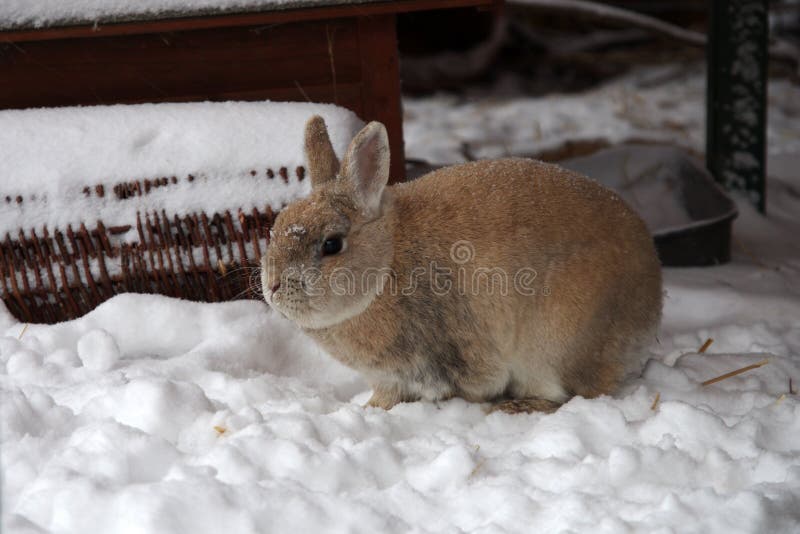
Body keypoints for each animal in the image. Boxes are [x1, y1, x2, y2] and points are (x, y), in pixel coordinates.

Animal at [261, 115, 662, 414]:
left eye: (332, 244)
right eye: (276, 227)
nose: (273, 286)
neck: (387, 263)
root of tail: (652, 304)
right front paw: (370, 409)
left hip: (550, 346)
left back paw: (514, 407)